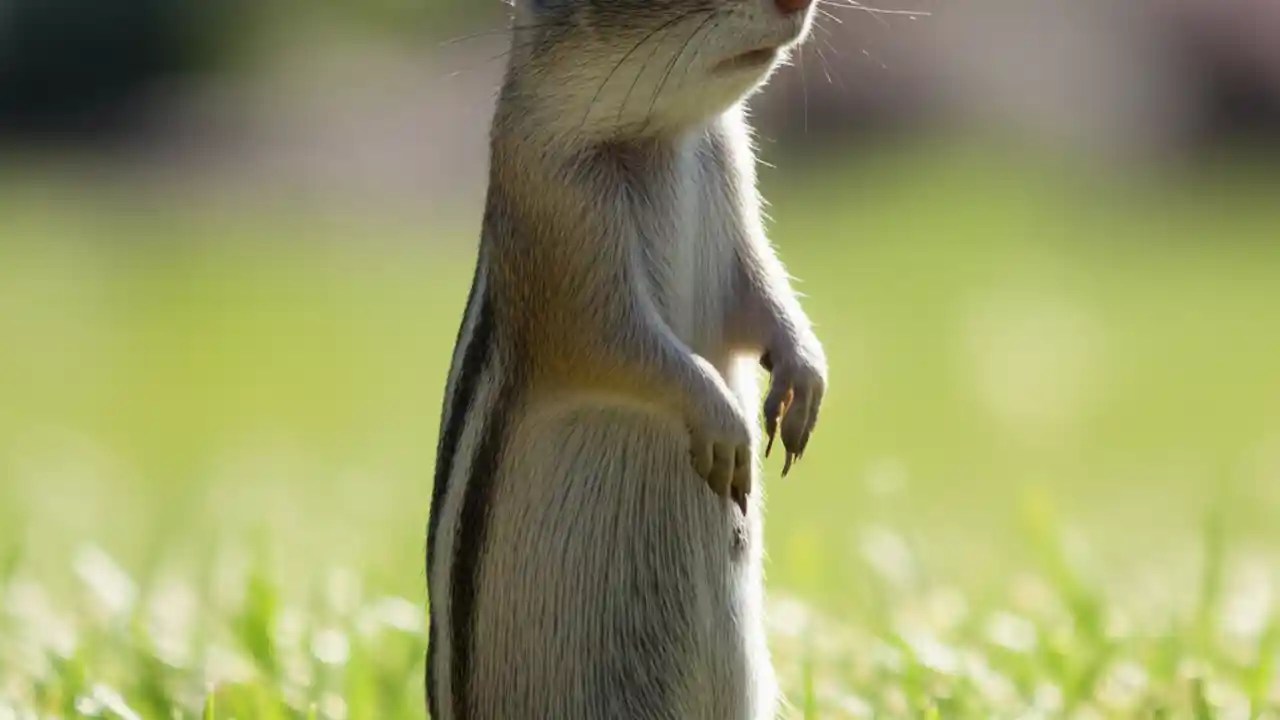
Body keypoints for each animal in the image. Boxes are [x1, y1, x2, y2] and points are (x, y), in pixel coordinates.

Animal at [426, 0, 826, 717]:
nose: (796, 3)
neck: (668, 136)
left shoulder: (736, 193)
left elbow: (763, 293)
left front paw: (803, 375)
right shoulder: (564, 231)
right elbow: (618, 349)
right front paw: (723, 424)